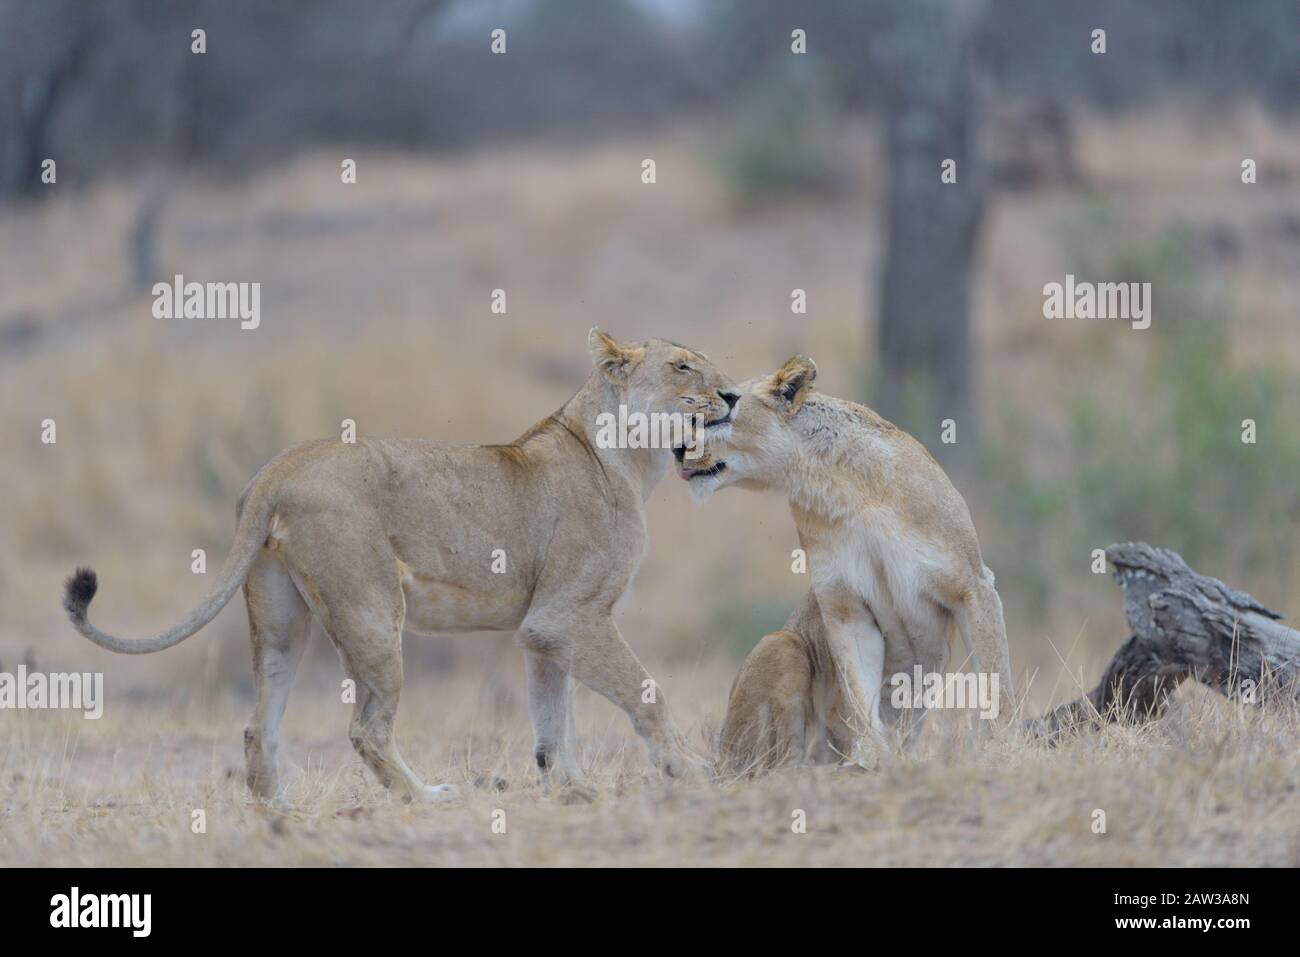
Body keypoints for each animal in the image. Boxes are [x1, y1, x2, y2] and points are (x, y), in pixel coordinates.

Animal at [63, 329, 740, 803]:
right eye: (683, 366)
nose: (733, 396)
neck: (633, 460)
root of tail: (278, 466)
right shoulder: (569, 615)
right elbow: (645, 694)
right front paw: (689, 770)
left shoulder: (544, 629)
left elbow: (554, 722)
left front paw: (572, 790)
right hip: (371, 610)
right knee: (366, 729)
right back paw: (430, 797)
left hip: (281, 618)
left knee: (260, 725)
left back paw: (281, 810)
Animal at [679, 356, 1014, 772]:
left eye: (719, 414)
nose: (677, 449)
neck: (841, 486)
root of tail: (720, 757)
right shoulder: (845, 604)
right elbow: (858, 689)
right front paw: (872, 756)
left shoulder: (972, 585)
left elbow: (995, 679)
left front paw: (1003, 750)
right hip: (779, 645)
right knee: (774, 761)